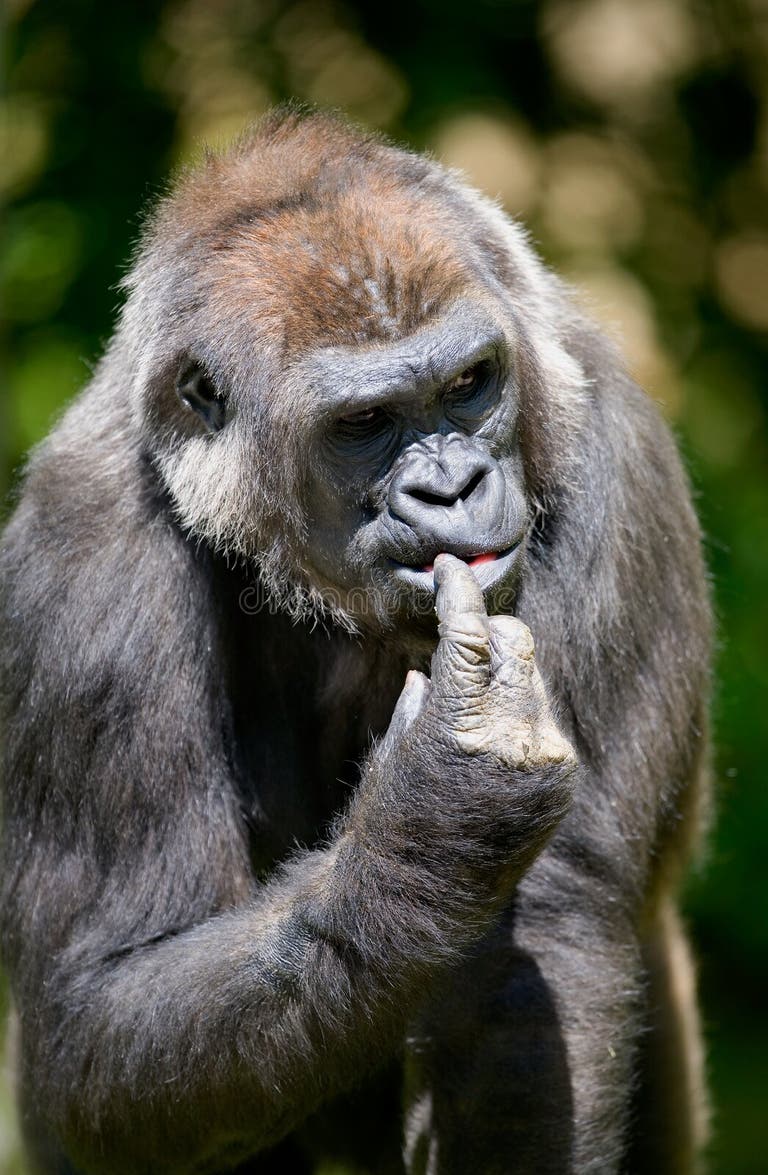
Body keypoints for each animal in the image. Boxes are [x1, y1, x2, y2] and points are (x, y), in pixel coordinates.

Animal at [0, 108, 712, 1175]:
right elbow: (101, 999)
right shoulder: (74, 558)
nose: (452, 488)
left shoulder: (611, 449)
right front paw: (437, 822)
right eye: (366, 422)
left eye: (471, 384)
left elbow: (536, 963)